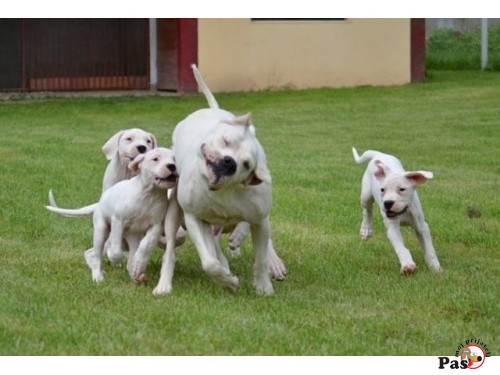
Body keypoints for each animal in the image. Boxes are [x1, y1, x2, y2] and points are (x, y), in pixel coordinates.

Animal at [45, 148, 178, 284]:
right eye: (155, 159)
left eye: (175, 159)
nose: (172, 166)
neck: (149, 193)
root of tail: (99, 204)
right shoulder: (118, 221)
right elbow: (115, 250)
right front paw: (115, 258)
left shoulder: (156, 225)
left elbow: (146, 245)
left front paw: (139, 264)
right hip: (101, 230)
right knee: (96, 254)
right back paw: (98, 276)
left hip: (133, 236)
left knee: (131, 254)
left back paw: (135, 273)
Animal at [135, 65, 288, 296]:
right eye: (226, 141)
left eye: (246, 164)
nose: (229, 161)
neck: (223, 192)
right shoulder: (195, 218)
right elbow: (210, 263)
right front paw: (228, 280)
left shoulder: (259, 219)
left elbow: (259, 256)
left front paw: (263, 286)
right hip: (175, 215)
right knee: (173, 250)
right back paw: (165, 284)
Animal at [352, 148, 442, 276]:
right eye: (382, 190)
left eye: (402, 189)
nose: (388, 203)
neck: (403, 212)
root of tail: (379, 154)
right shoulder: (392, 229)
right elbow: (401, 248)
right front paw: (407, 265)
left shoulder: (422, 226)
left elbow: (429, 249)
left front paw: (435, 268)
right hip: (366, 195)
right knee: (367, 211)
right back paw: (366, 229)